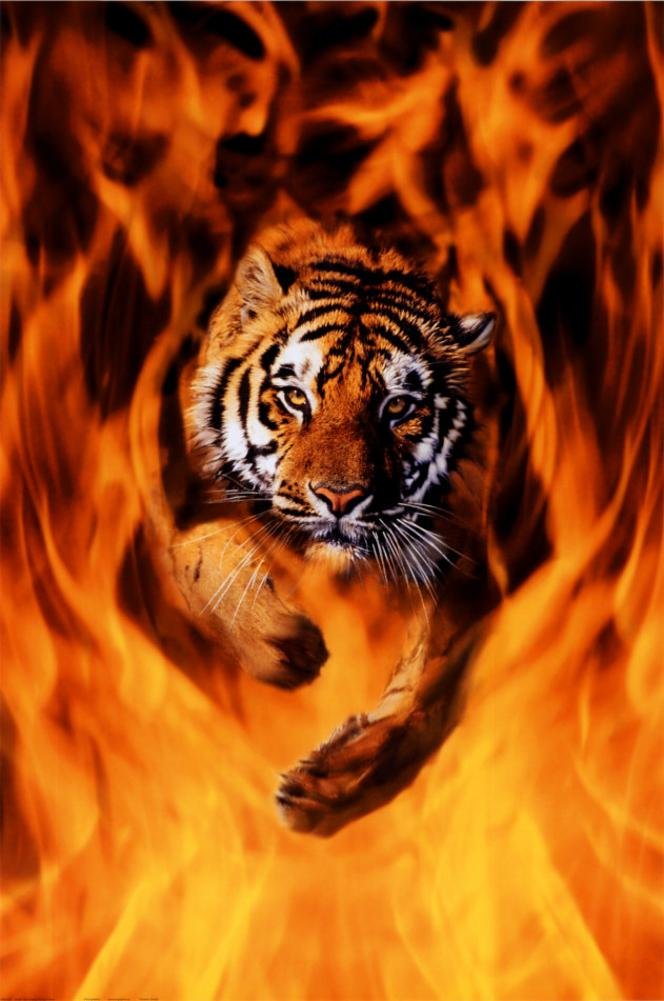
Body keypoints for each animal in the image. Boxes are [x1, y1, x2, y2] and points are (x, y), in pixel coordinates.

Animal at [148, 220, 498, 835]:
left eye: (397, 407)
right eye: (295, 397)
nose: (340, 498)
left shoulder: (456, 557)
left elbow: (429, 683)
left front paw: (330, 784)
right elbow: (200, 553)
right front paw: (282, 646)